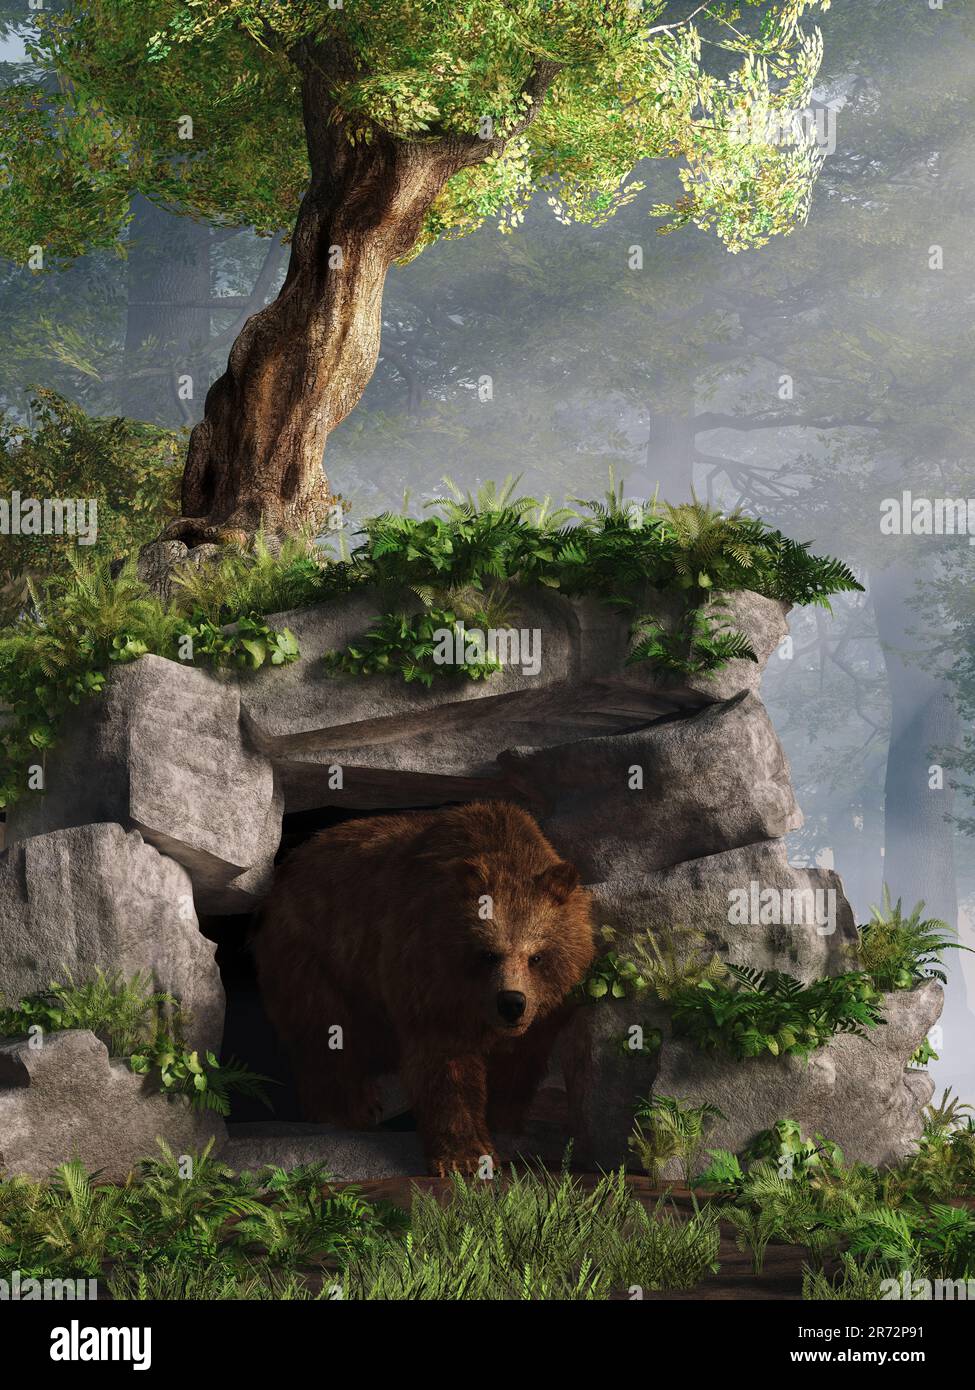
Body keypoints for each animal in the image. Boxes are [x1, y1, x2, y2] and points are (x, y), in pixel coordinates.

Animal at [253, 800, 594, 1176]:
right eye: (488, 953)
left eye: (536, 956)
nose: (511, 1003)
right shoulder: (427, 976)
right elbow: (446, 1064)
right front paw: (465, 1156)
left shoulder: (544, 1013)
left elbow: (519, 1065)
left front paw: (505, 1124)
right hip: (315, 954)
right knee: (325, 1031)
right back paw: (349, 1111)